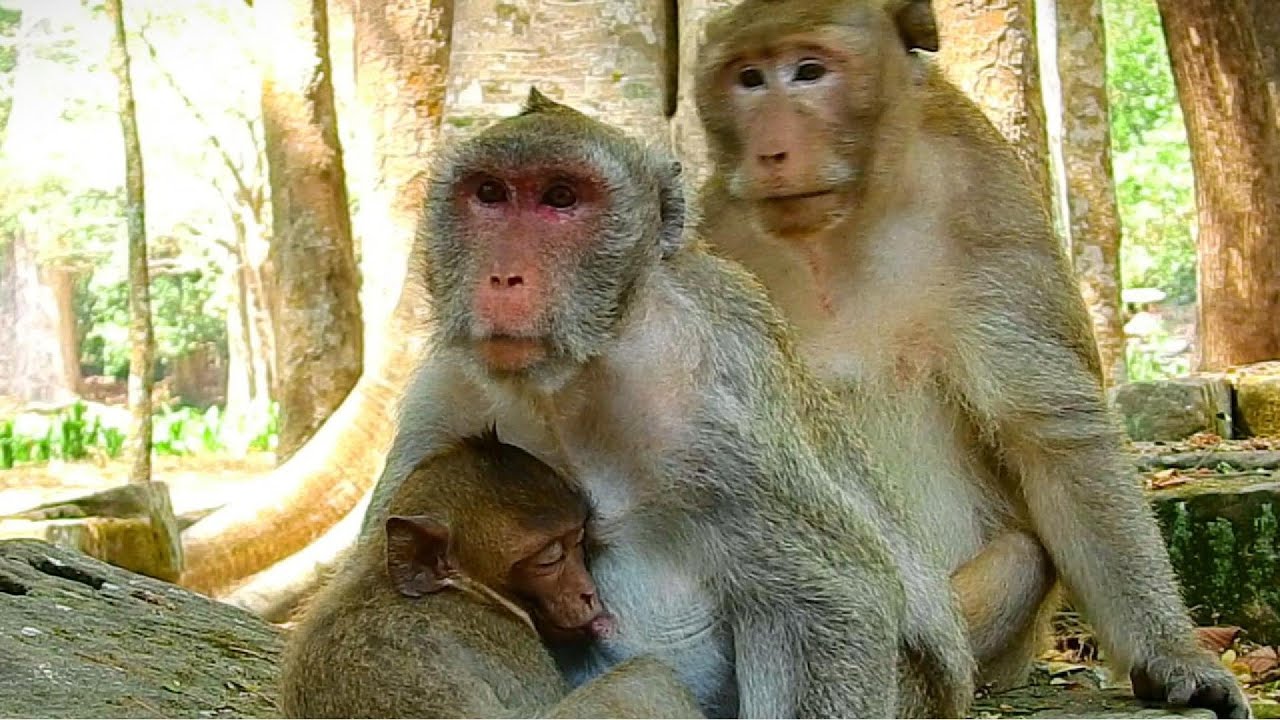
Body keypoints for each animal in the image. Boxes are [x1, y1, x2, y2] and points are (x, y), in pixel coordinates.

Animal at [359, 87, 976, 718]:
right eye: (489, 193)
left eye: (561, 197)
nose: (504, 277)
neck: (566, 382)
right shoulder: (443, 397)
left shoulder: (709, 406)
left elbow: (829, 603)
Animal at [691, 1, 1250, 717]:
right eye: (749, 78)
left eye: (809, 71)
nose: (772, 150)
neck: (837, 231)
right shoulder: (713, 230)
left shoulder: (988, 207)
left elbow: (1054, 434)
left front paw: (1174, 657)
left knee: (1017, 560)